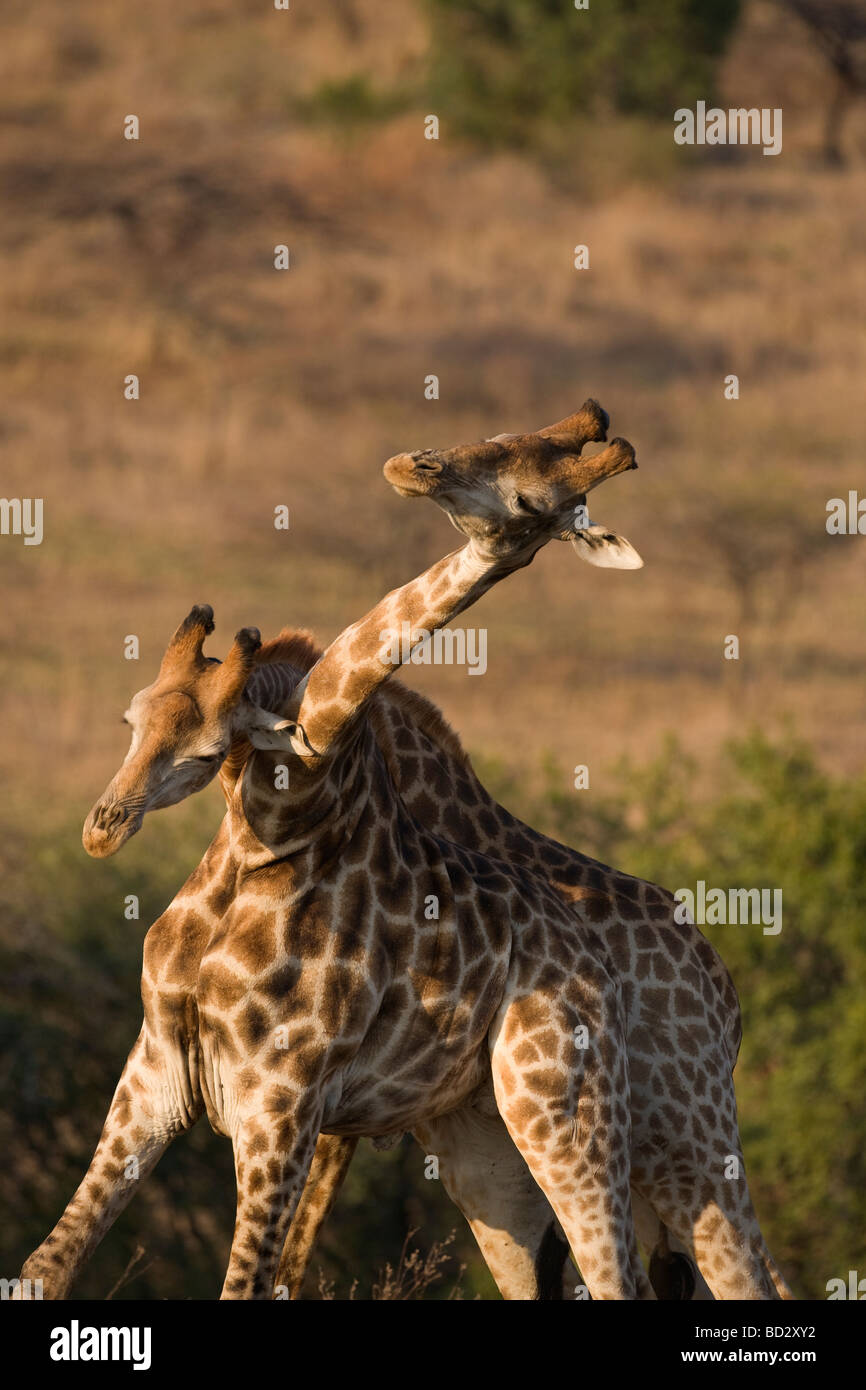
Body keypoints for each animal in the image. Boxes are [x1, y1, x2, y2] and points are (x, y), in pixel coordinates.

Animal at [21, 428, 655, 1300]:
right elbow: (45, 1267)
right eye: (130, 719)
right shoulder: (153, 1077)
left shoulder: (283, 1109)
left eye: (211, 750)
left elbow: (250, 1283)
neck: (277, 835)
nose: (101, 831)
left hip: (577, 1123)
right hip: (486, 1150)